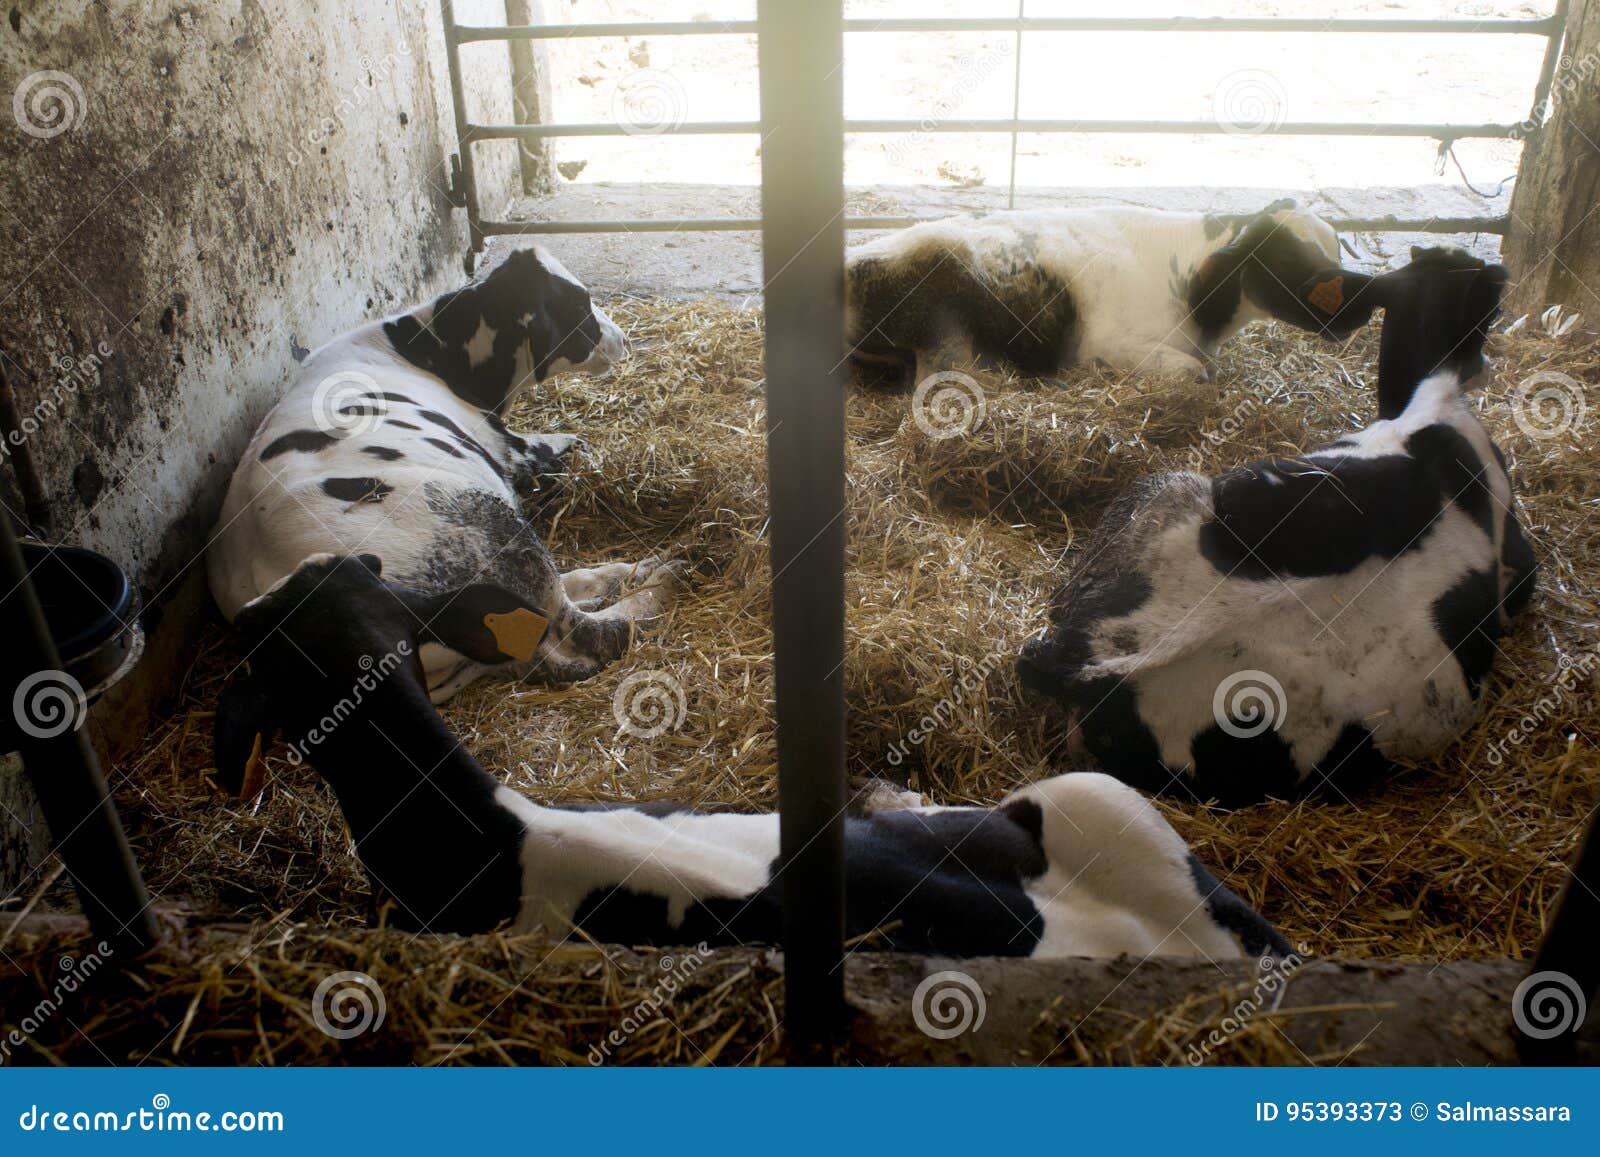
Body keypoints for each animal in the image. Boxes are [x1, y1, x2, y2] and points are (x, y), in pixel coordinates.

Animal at [207, 246, 676, 705]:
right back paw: (663, 576)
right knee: (581, 637)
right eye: (578, 302)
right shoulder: (510, 450)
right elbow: (571, 444)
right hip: (487, 530)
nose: (624, 339)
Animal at [845, 199, 1381, 386]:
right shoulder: (1112, 344)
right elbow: (1195, 373)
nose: (1357, 311)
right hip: (942, 336)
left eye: (1333, 247)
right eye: (1286, 260)